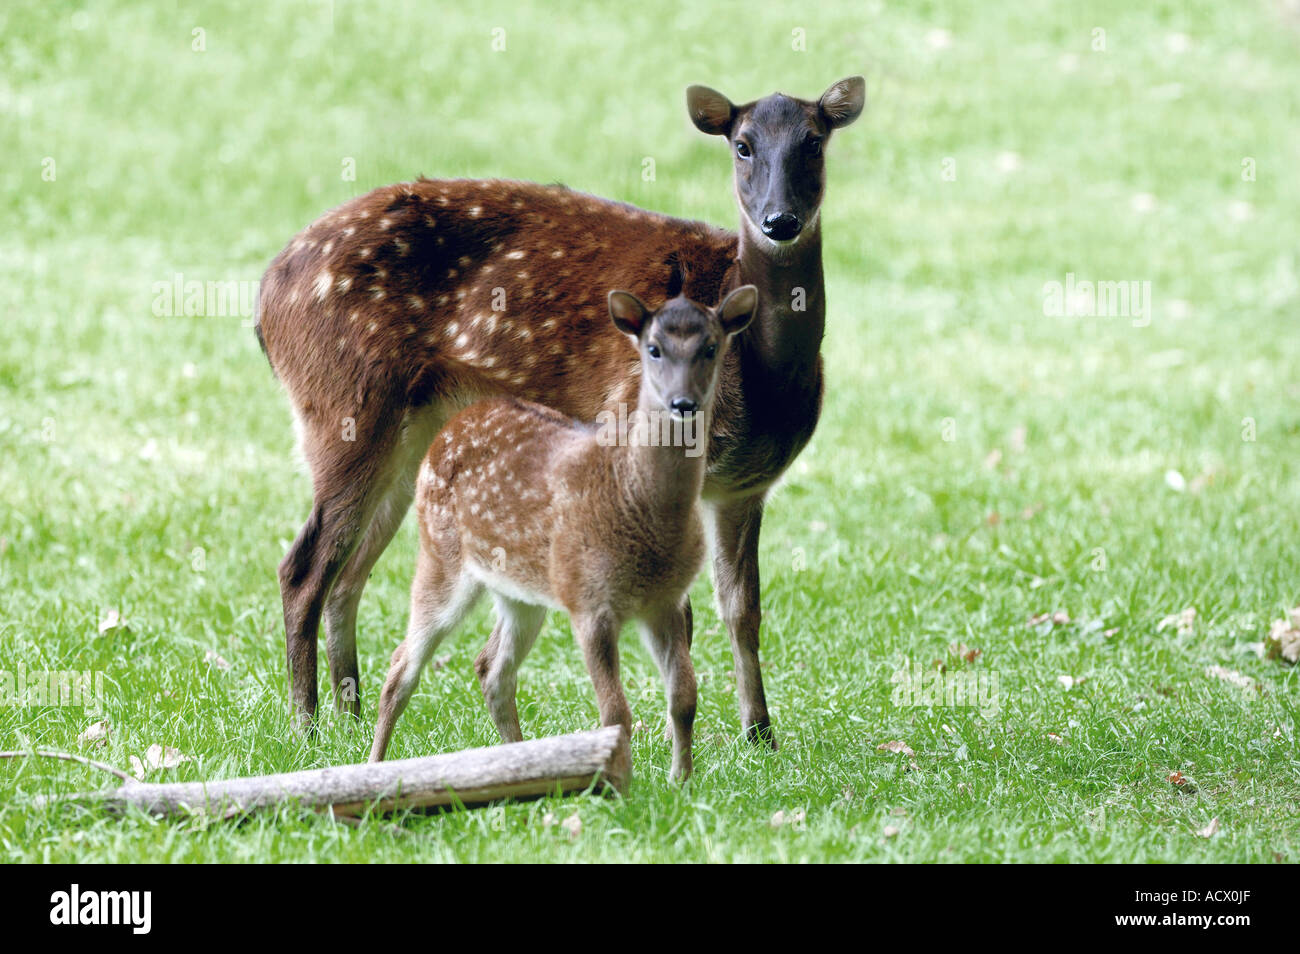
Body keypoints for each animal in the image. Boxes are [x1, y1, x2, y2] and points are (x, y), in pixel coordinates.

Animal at [367, 286, 759, 778]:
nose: (683, 404)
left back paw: (519, 762)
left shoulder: (664, 599)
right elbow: (614, 711)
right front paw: (622, 783)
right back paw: (373, 767)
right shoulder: (588, 600)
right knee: (403, 663)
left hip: (522, 590)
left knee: (492, 669)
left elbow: (684, 697)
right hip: (441, 554)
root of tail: (449, 427)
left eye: (711, 347)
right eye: (653, 348)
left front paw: (680, 782)